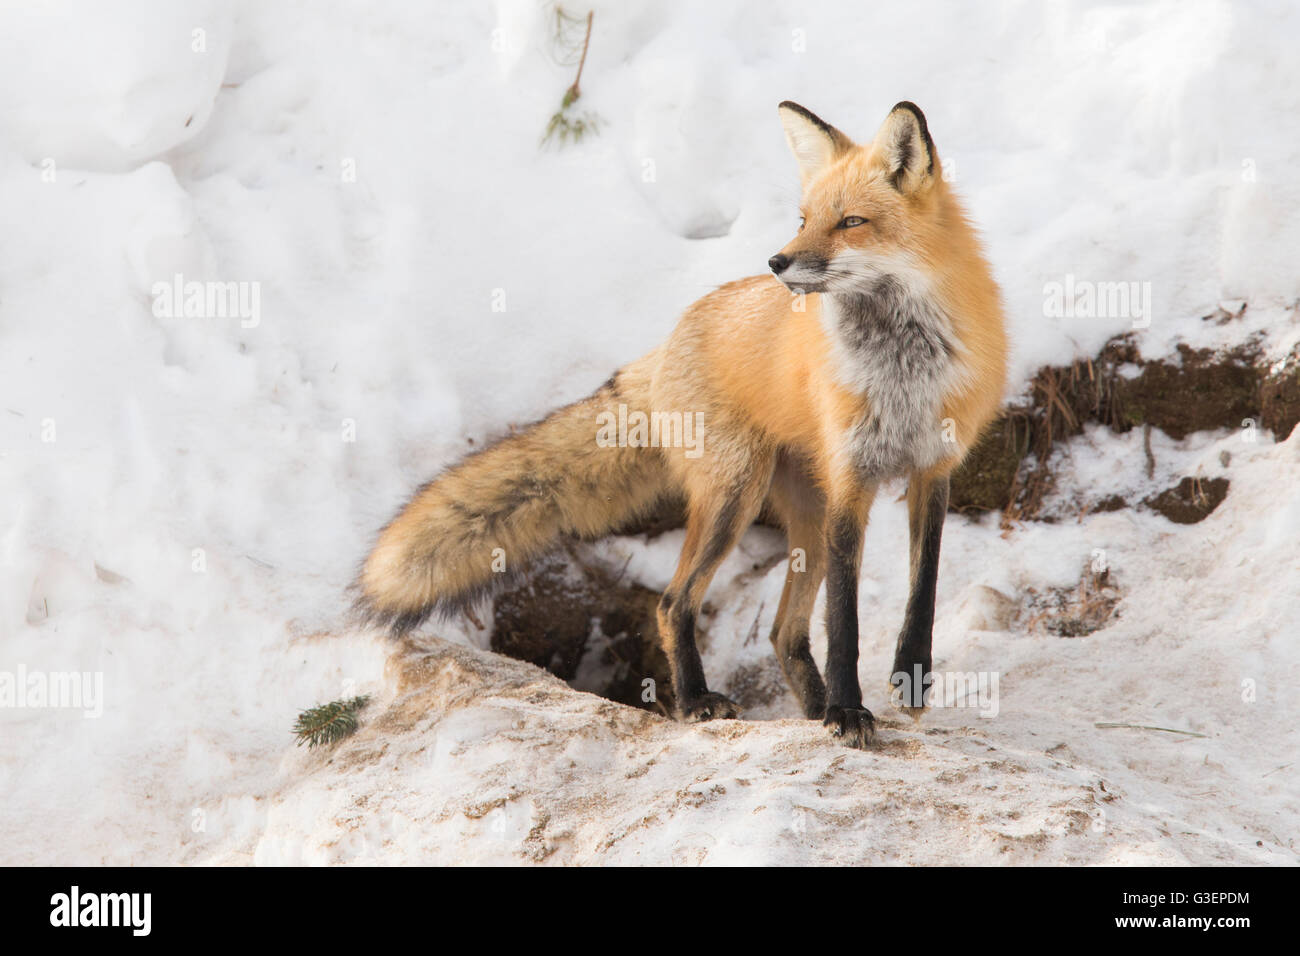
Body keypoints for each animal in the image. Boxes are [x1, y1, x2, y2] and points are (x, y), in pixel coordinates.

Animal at [357, 100, 1007, 748]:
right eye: (802, 219)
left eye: (851, 222)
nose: (776, 261)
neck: (901, 372)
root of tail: (671, 336)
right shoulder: (851, 481)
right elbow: (843, 620)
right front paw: (848, 711)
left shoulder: (933, 470)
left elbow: (922, 590)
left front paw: (908, 679)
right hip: (736, 498)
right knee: (674, 604)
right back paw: (698, 700)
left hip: (801, 515)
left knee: (782, 633)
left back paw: (808, 707)